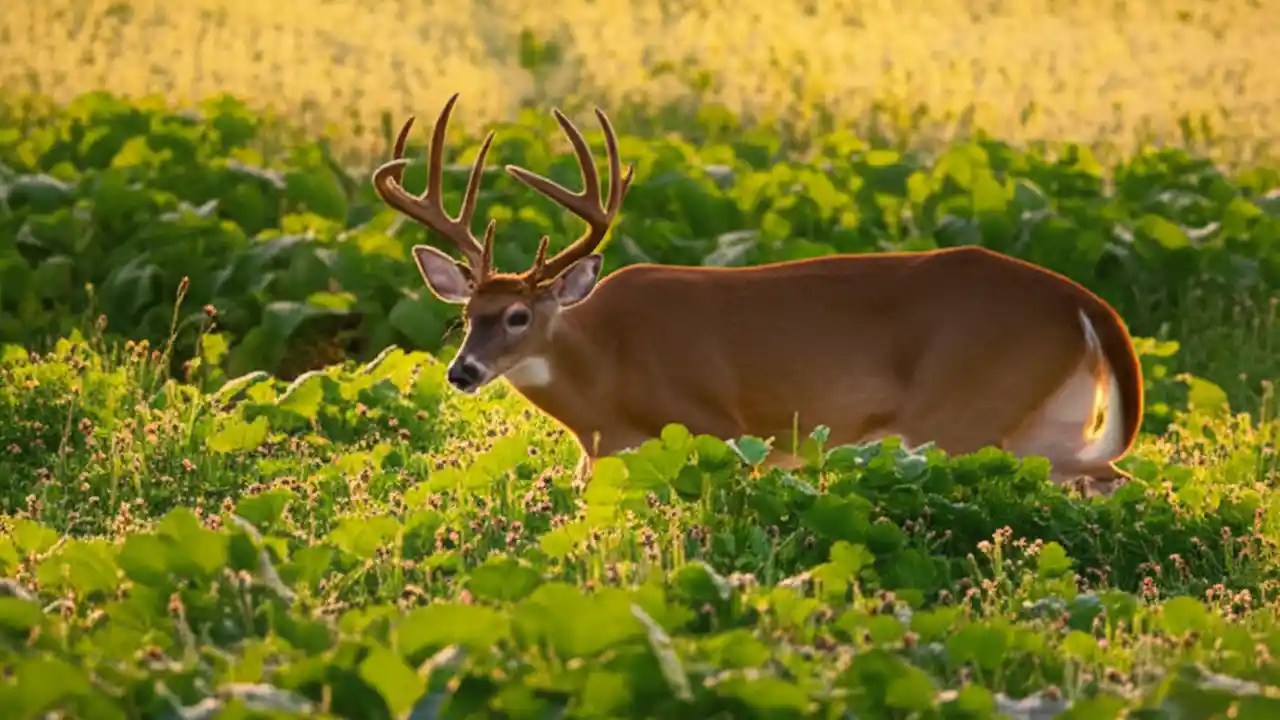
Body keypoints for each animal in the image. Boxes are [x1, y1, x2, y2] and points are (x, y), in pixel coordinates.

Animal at [371, 94, 1145, 496]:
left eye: (518, 314)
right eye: (464, 316)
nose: (462, 371)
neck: (604, 383)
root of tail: (1090, 307)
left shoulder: (719, 429)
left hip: (961, 415)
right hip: (1047, 429)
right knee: (1109, 479)